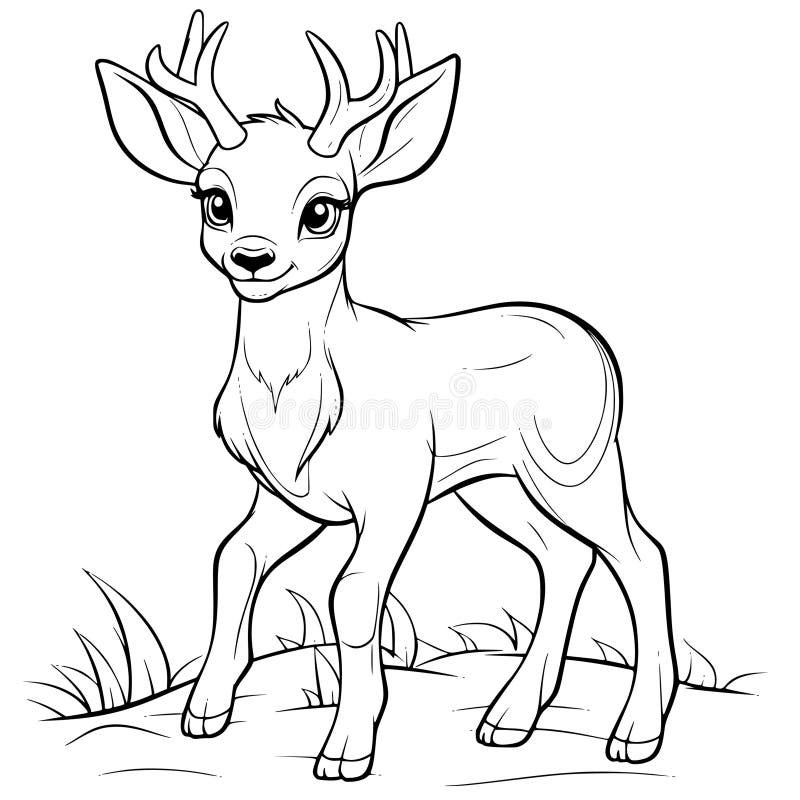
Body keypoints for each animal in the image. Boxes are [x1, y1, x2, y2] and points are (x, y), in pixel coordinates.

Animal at [96, 11, 678, 781]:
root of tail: (597, 346)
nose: (253, 257)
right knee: (564, 556)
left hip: (575, 466)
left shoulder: (394, 491)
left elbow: (352, 593)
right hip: (494, 484)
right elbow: (233, 557)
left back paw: (637, 730)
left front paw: (347, 747)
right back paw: (510, 719)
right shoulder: (285, 495)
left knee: (640, 554)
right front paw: (205, 710)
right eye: (215, 200)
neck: (295, 404)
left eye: (323, 208)